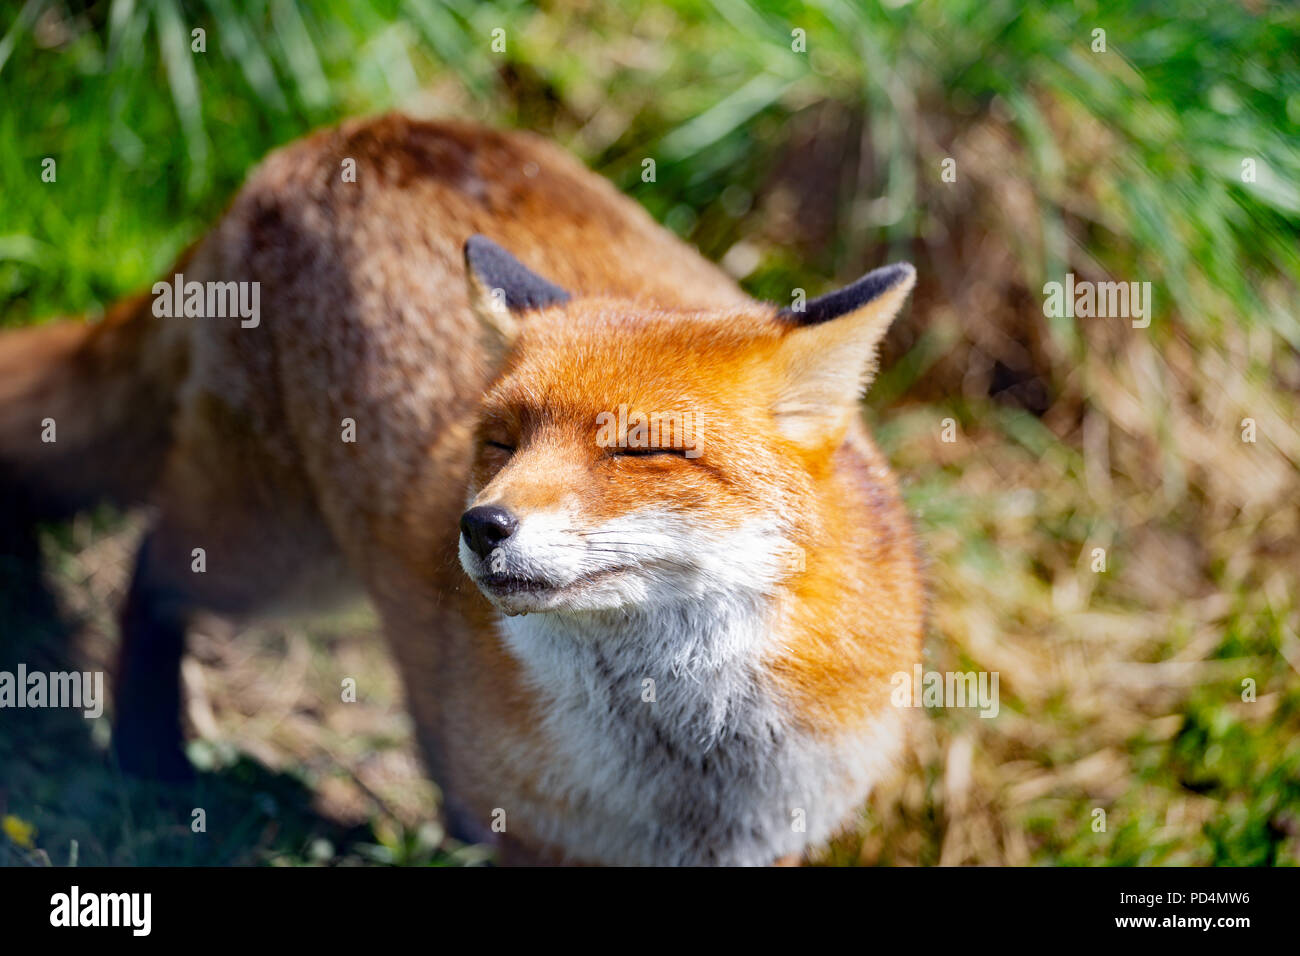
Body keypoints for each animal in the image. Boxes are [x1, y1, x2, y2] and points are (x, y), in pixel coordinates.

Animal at [0, 113, 923, 866]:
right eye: (502, 442)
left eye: (639, 448)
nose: (482, 525)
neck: (688, 761)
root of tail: (344, 132)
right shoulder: (535, 837)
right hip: (272, 554)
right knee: (152, 566)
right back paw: (147, 756)